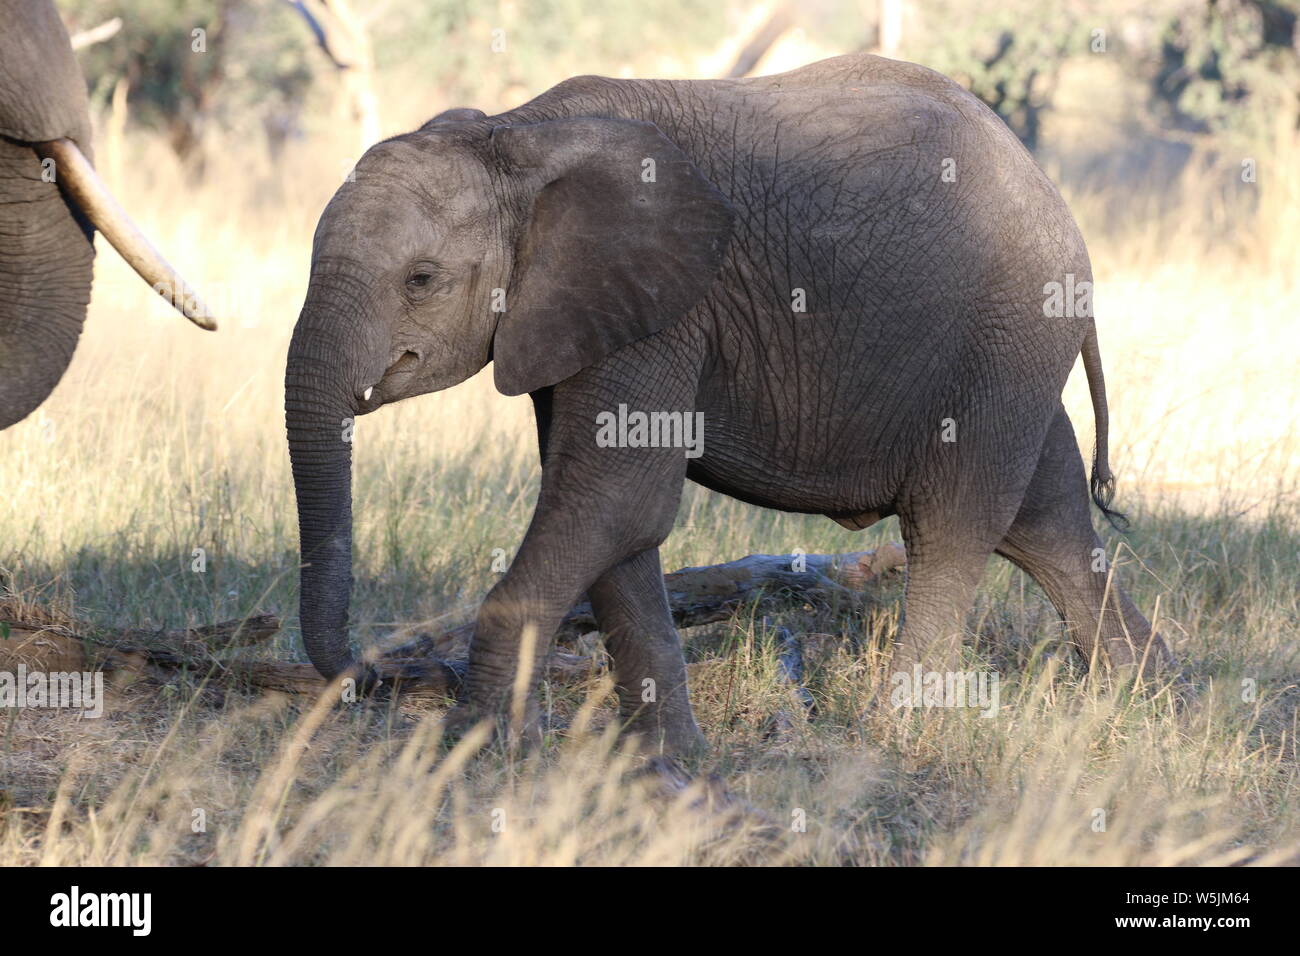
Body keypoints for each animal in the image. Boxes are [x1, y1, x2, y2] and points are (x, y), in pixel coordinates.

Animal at [285, 53, 1177, 756]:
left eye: (421, 280)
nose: (373, 671)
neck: (516, 135)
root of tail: (1051, 191)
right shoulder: (586, 316)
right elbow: (616, 521)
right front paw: (669, 761)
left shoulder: (665, 310)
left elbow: (618, 496)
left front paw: (477, 754)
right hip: (1009, 353)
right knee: (1046, 520)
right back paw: (1151, 702)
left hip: (1005, 332)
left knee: (953, 527)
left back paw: (895, 738)